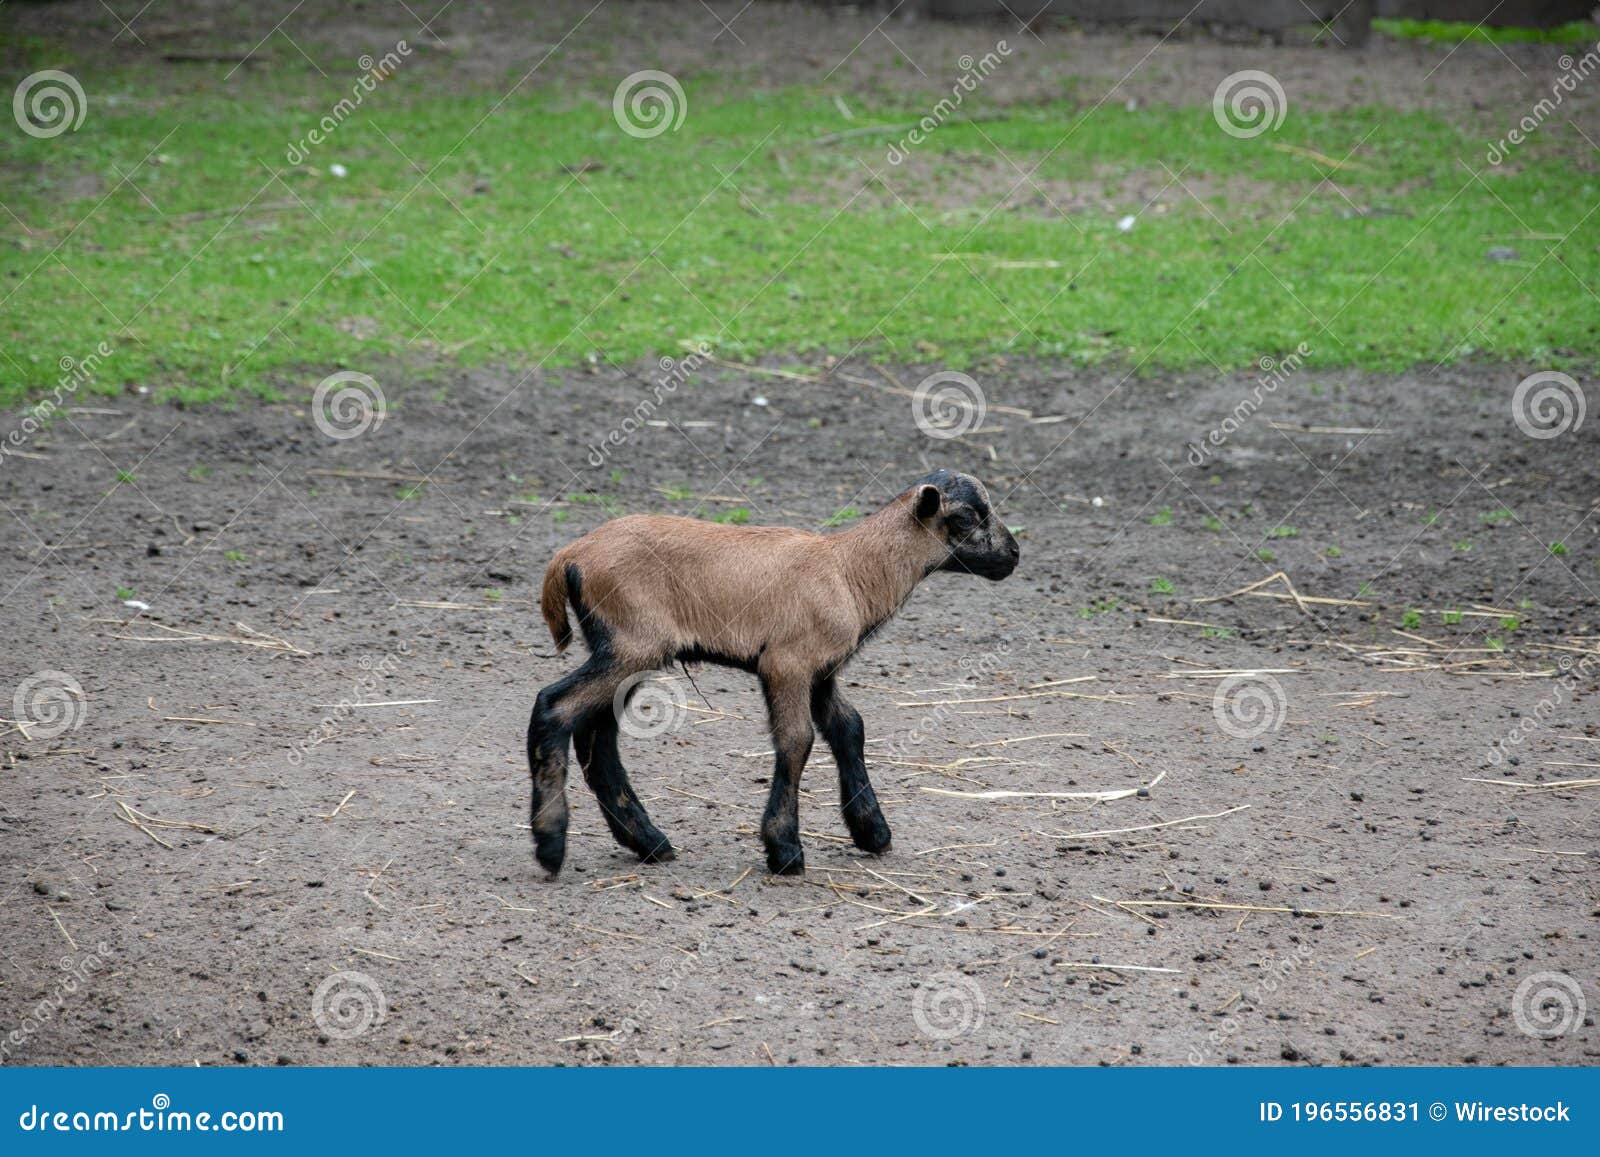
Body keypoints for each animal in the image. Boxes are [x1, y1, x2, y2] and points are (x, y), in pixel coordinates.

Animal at [528, 468, 1019, 878]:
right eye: (966, 517)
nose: (1014, 555)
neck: (850, 571)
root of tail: (570, 555)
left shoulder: (822, 670)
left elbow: (849, 728)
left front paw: (872, 831)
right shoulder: (787, 662)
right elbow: (796, 740)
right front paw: (784, 849)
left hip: (624, 649)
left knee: (596, 736)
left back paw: (648, 842)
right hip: (633, 642)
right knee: (556, 707)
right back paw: (551, 844)